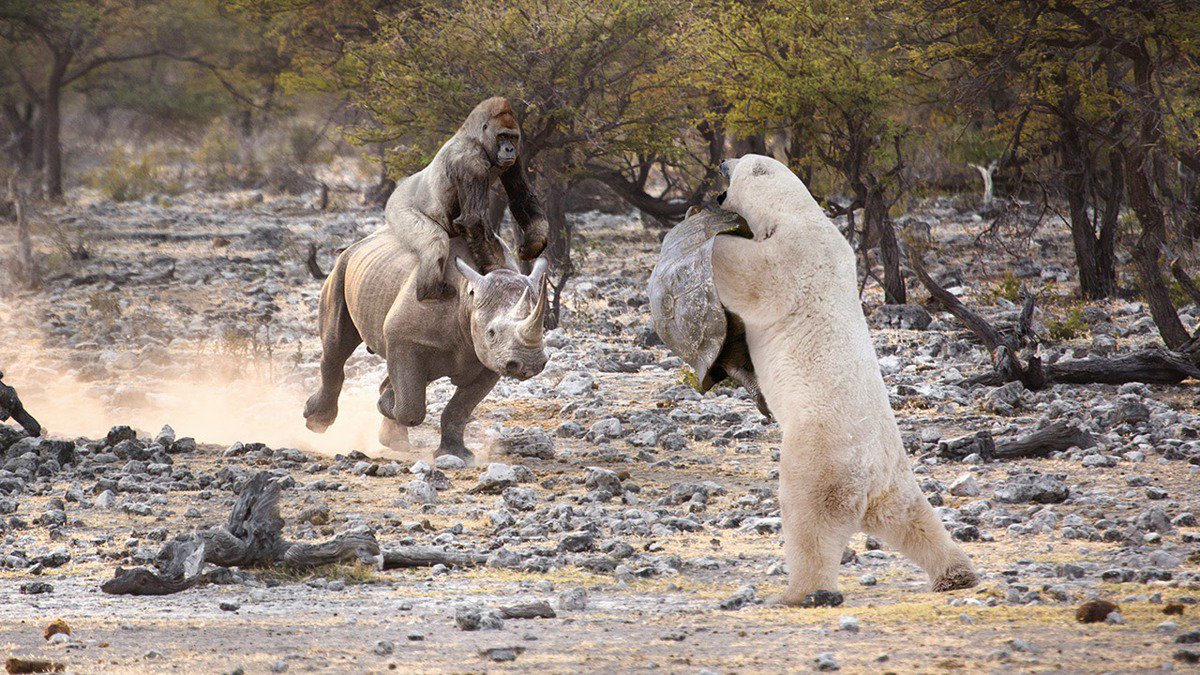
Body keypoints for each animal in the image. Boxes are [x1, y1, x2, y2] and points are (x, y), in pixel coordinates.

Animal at [303, 230, 549, 462]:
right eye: (491, 333)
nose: (531, 364)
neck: (468, 300)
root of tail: (358, 244)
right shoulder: (403, 337)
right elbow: (410, 408)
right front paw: (386, 403)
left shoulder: (490, 361)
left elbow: (459, 410)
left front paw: (457, 455)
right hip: (342, 268)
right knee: (336, 349)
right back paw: (316, 423)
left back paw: (395, 441)